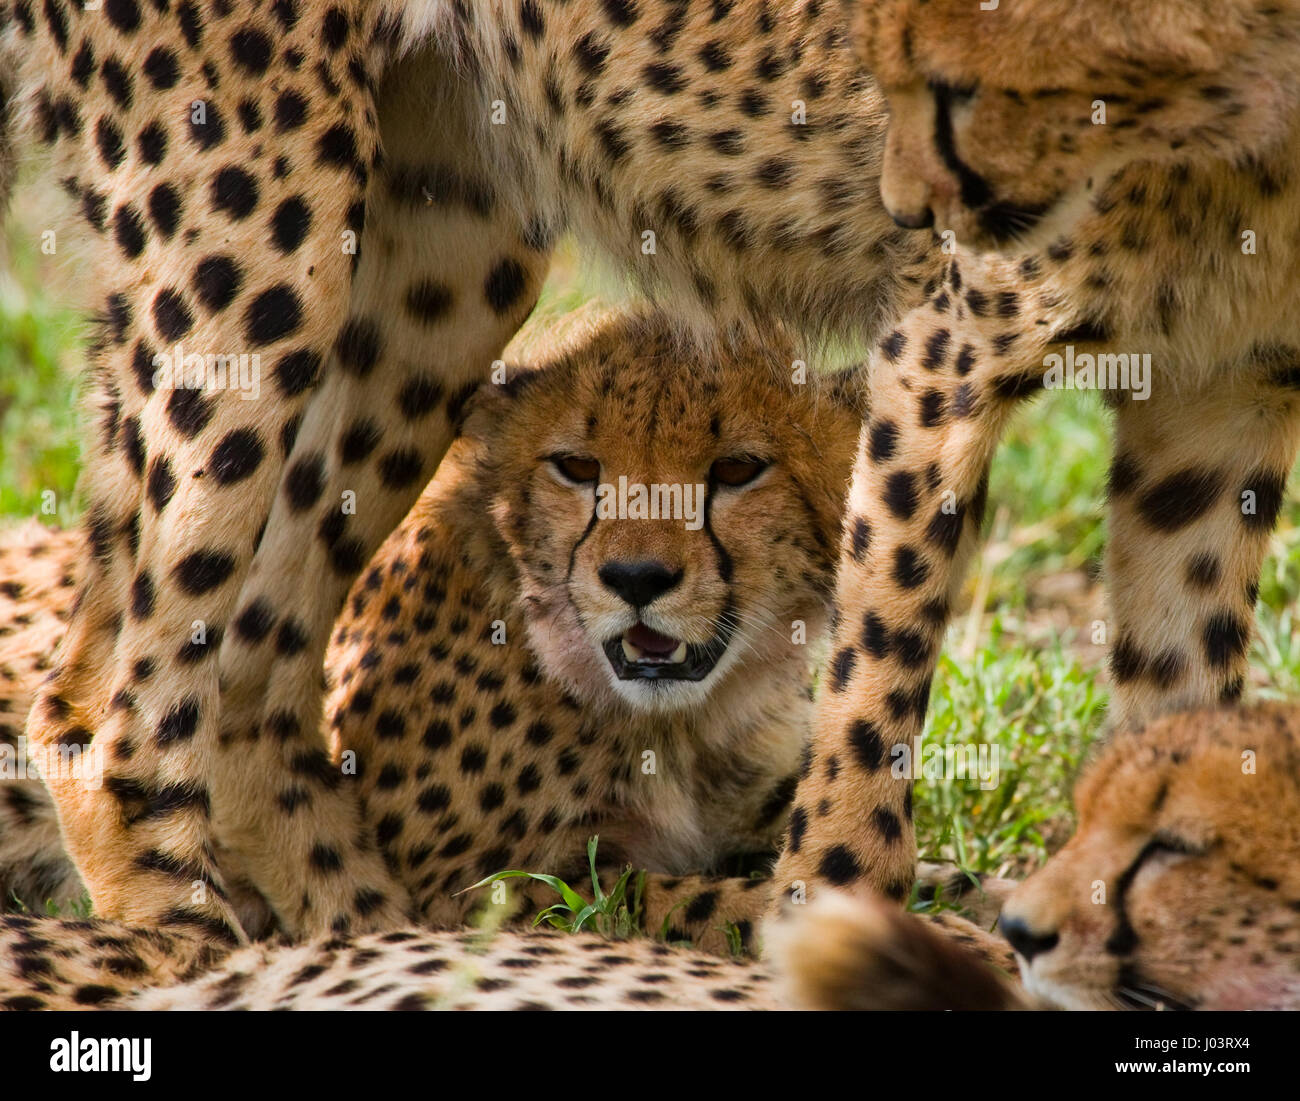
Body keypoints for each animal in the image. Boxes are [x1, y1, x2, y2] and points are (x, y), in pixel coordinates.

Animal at [1, 305, 867, 954]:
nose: (637, 579)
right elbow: (674, 898)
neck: (677, 725)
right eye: (577, 467)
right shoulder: (469, 892)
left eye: (738, 469)